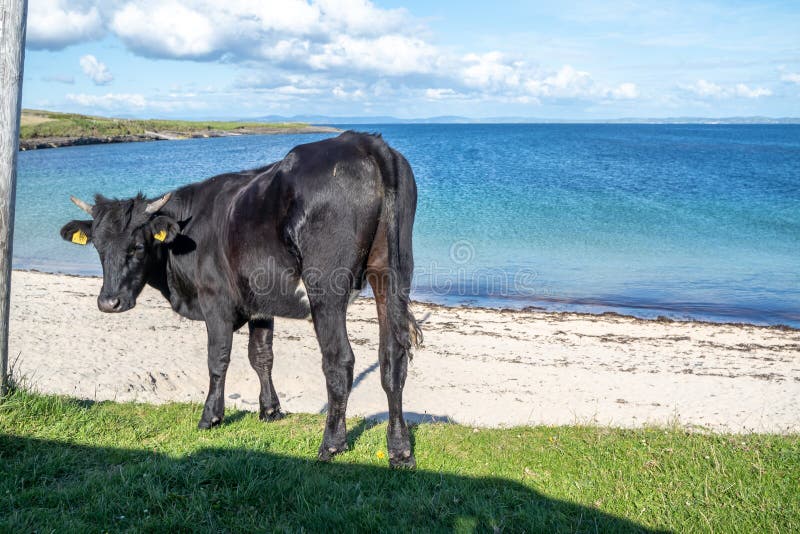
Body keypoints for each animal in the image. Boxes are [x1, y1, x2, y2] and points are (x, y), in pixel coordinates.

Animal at [60, 131, 422, 468]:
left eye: (137, 246)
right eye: (98, 247)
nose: (109, 302)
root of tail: (362, 141)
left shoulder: (215, 300)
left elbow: (218, 359)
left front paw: (211, 416)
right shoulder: (261, 303)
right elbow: (261, 356)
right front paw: (270, 410)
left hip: (326, 287)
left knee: (340, 360)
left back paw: (331, 444)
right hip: (392, 272)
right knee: (393, 358)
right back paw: (400, 449)